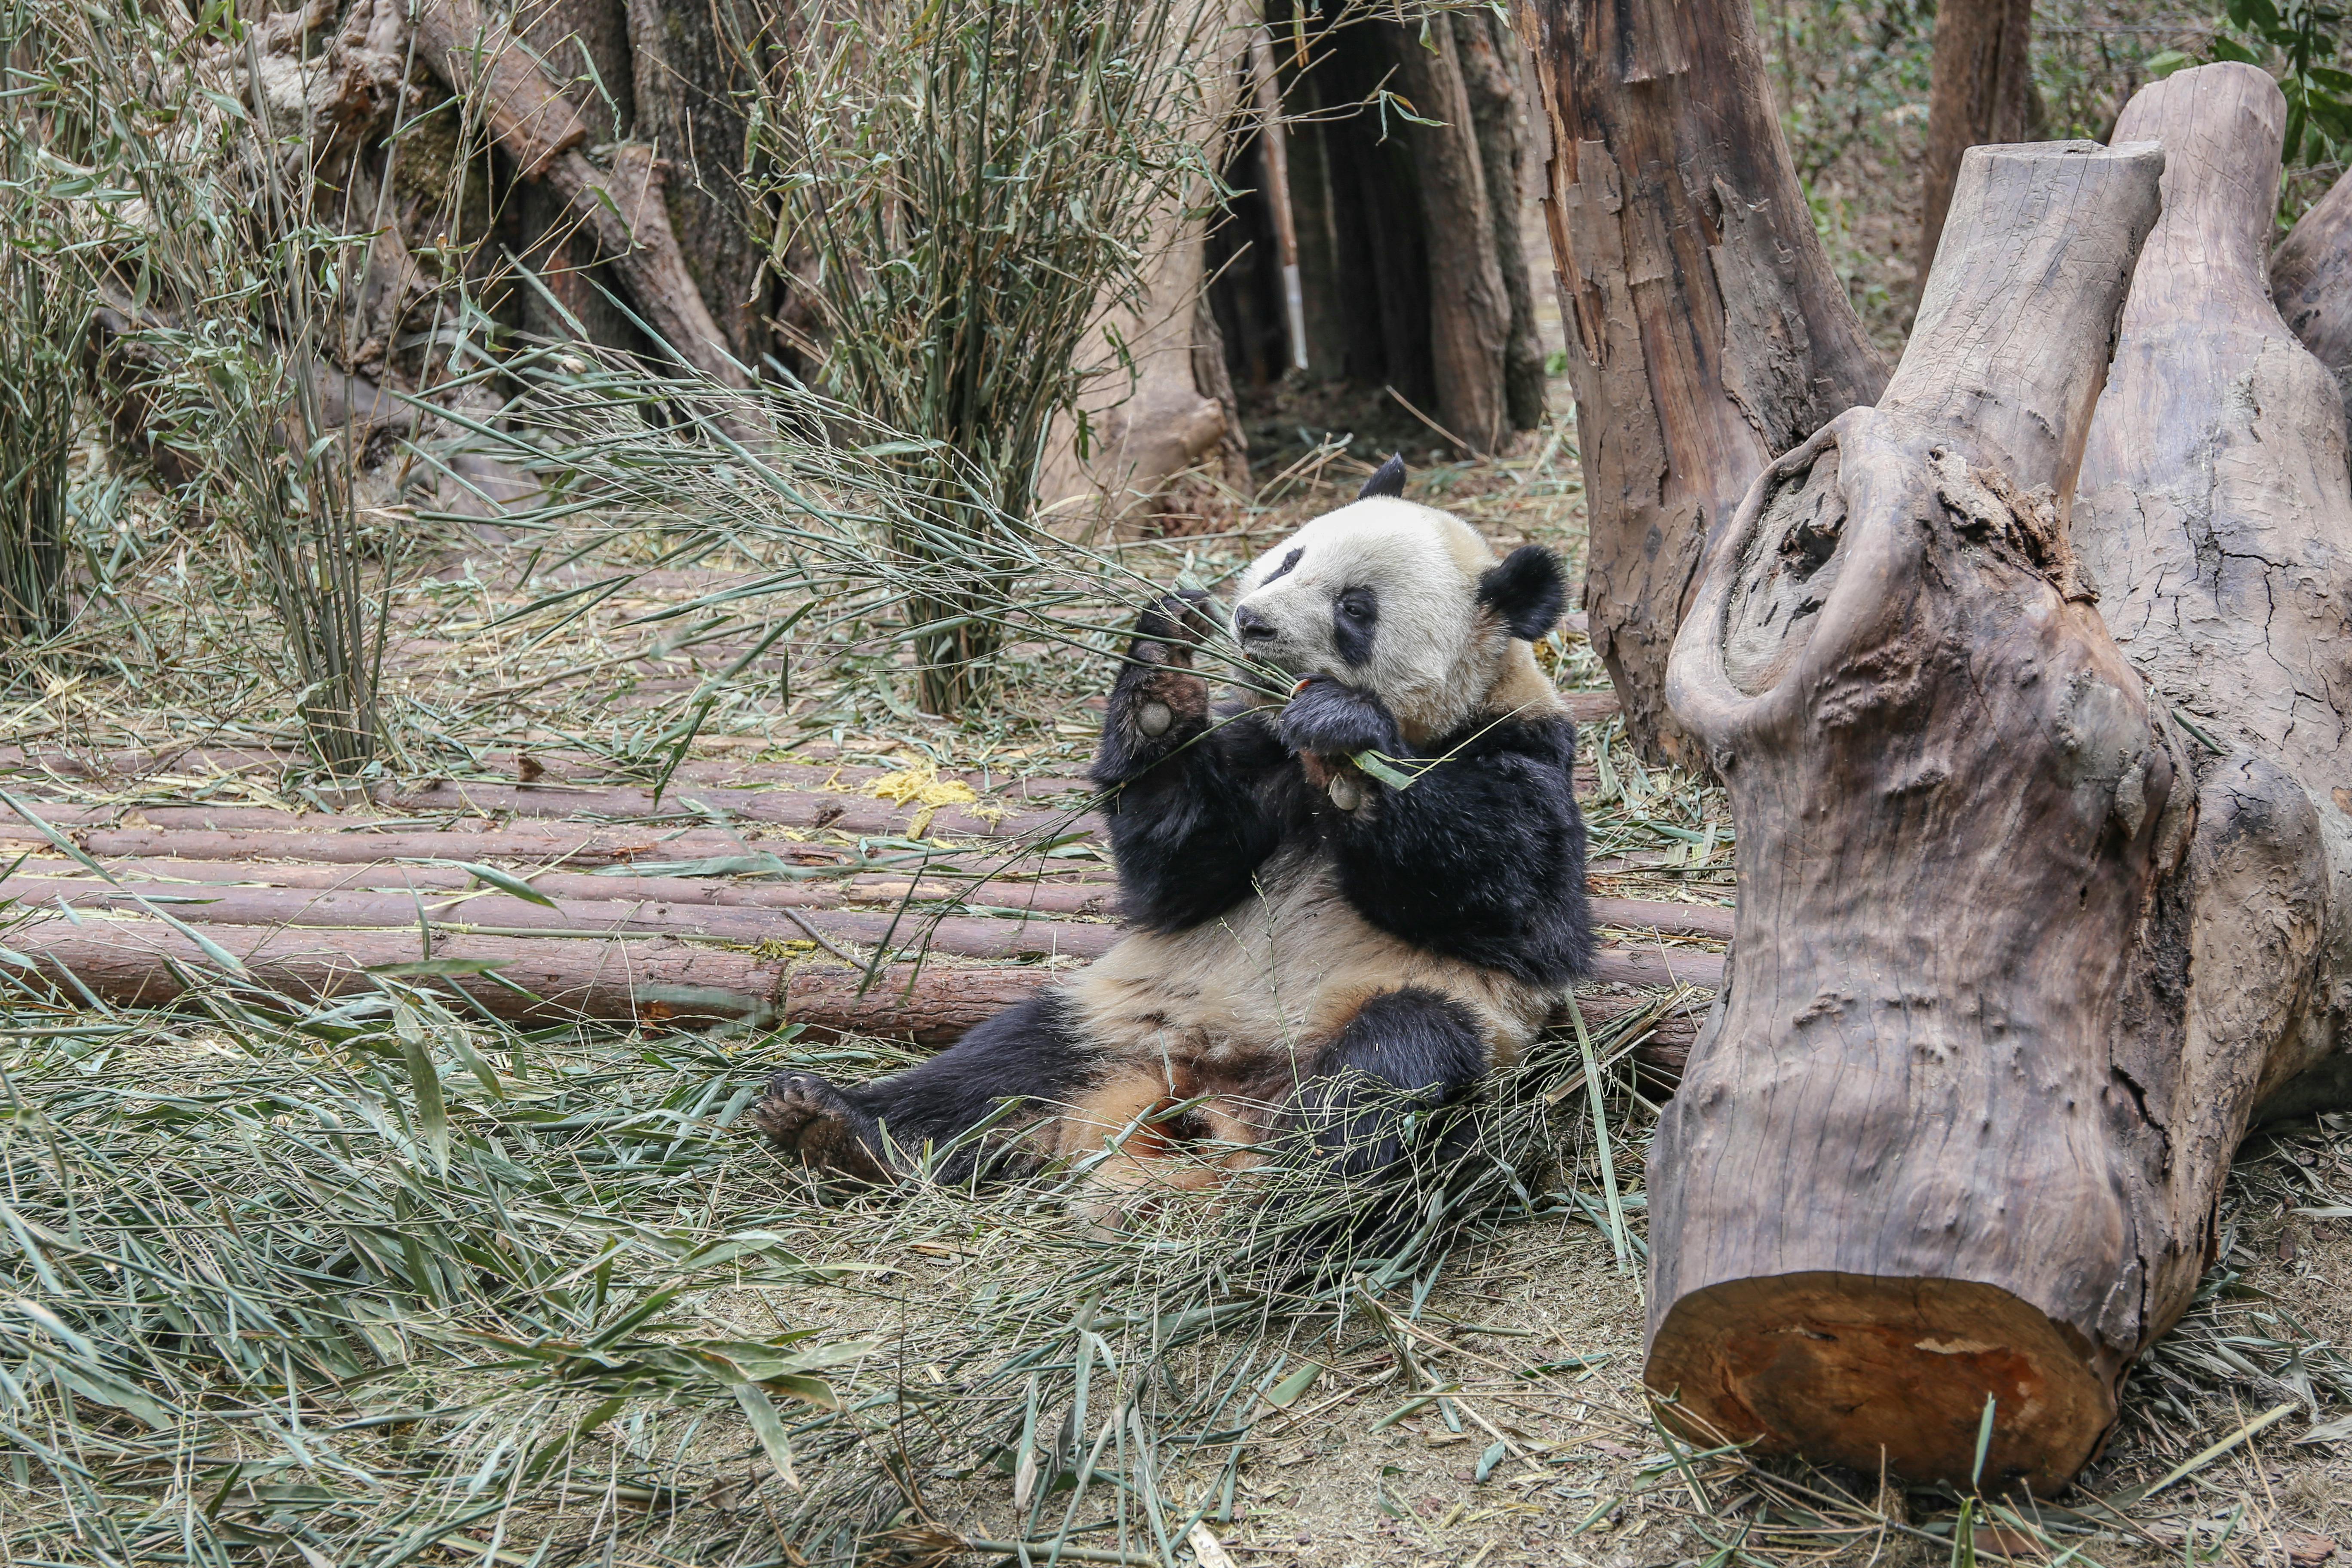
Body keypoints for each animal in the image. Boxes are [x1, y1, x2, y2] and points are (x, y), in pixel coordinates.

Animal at [755, 456, 1592, 1197]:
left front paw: (1349, 738)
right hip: (1129, 1011)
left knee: (1386, 1067)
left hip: (1412, 1012)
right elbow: (1181, 873)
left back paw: (1291, 1184)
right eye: (1290, 559)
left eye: (1356, 608)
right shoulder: (1253, 747)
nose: (1252, 621)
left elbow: (1506, 897)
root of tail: (1209, 1087)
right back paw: (832, 1124)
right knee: (1000, 1066)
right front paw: (1160, 678)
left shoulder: (1522, 749)